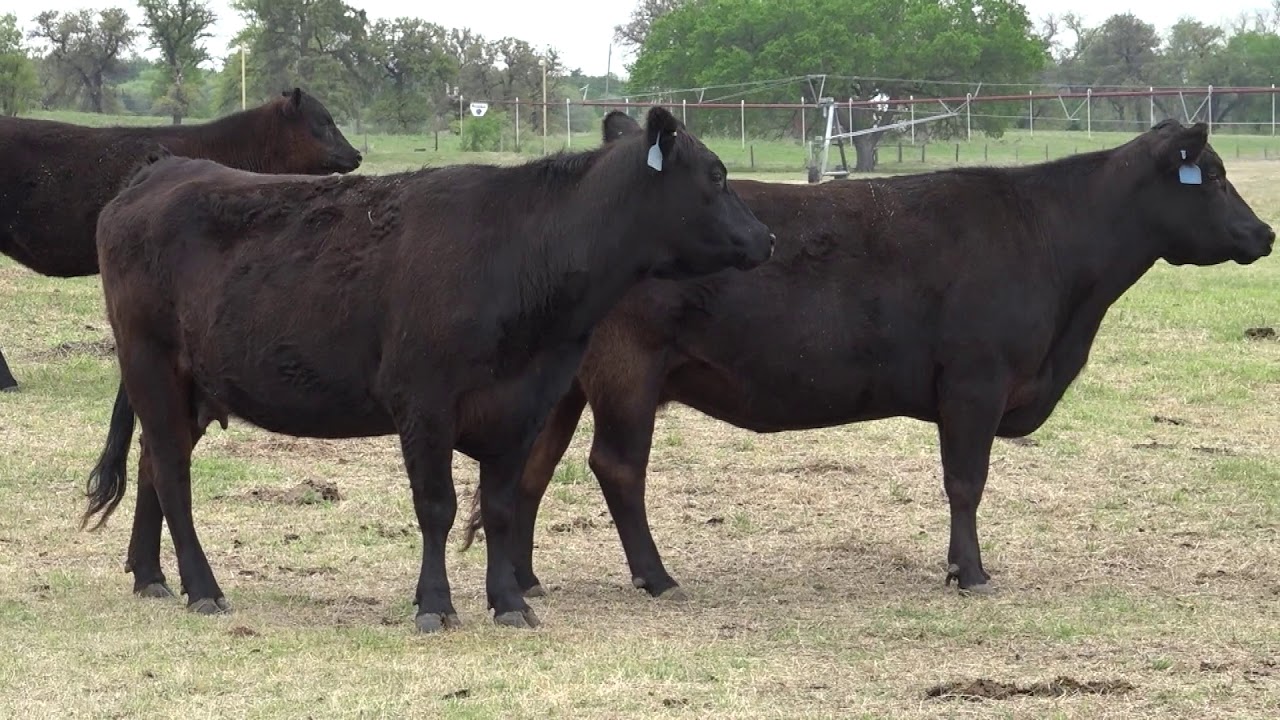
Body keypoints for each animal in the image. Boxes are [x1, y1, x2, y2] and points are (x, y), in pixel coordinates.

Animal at [81, 107, 775, 633]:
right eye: (717, 175)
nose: (766, 238)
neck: (523, 253)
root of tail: (163, 167)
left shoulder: (522, 407)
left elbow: (499, 506)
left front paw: (509, 602)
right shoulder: (424, 403)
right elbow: (437, 506)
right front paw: (436, 606)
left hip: (188, 385)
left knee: (152, 466)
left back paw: (151, 576)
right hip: (151, 363)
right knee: (172, 473)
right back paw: (203, 588)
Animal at [462, 113, 1275, 603]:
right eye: (1216, 175)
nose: (1264, 233)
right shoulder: (974, 383)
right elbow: (965, 482)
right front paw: (970, 572)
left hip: (566, 384)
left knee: (533, 469)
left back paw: (526, 581)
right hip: (627, 374)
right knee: (617, 468)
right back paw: (656, 577)